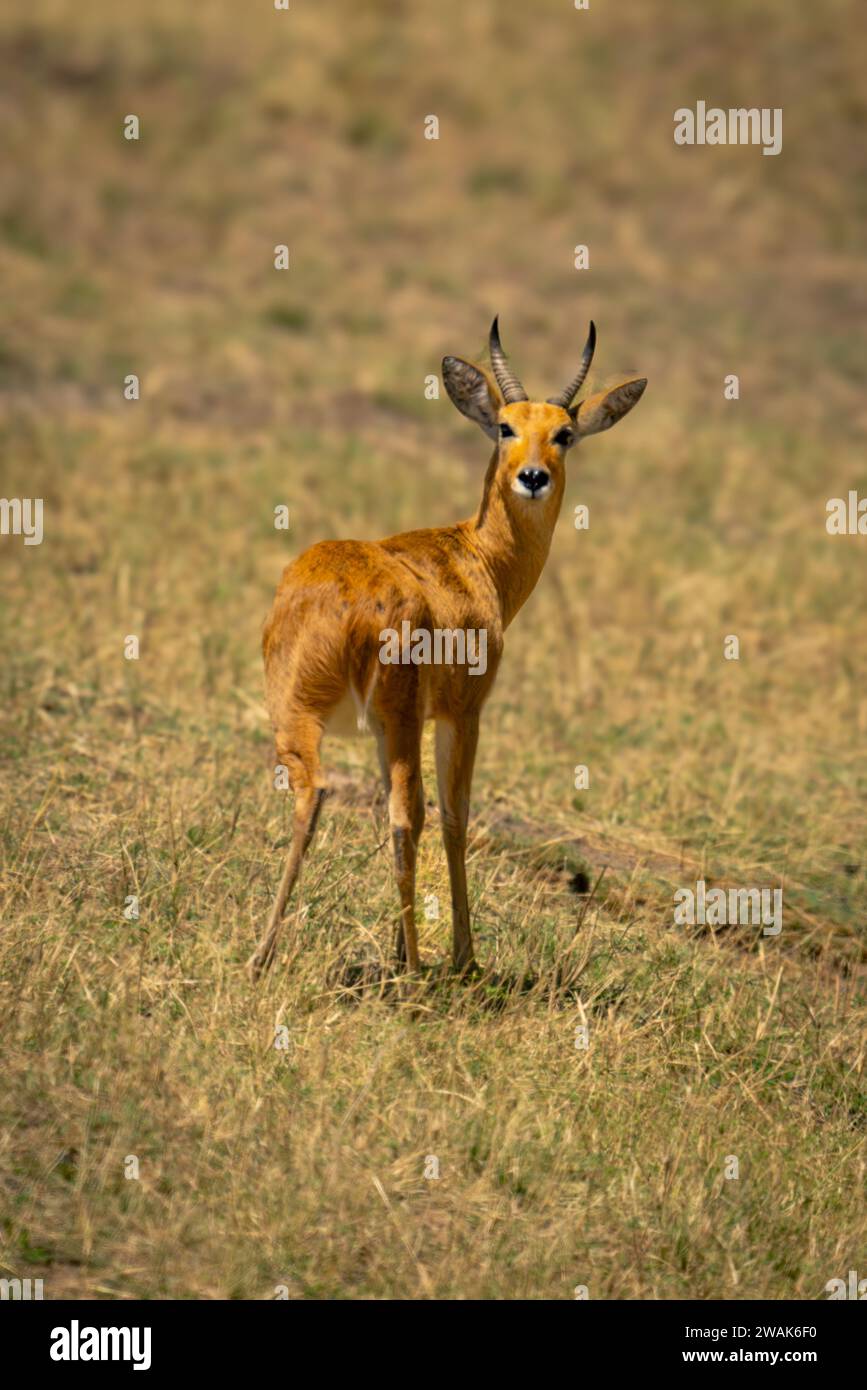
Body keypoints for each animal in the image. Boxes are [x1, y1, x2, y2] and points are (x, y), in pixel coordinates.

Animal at [248, 319, 646, 981]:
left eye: (563, 434)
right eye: (506, 425)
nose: (532, 477)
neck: (476, 557)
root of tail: (341, 599)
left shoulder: (386, 731)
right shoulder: (463, 712)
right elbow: (456, 817)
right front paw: (464, 956)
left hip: (301, 713)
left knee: (321, 794)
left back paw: (263, 954)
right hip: (400, 717)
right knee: (407, 814)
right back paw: (413, 970)